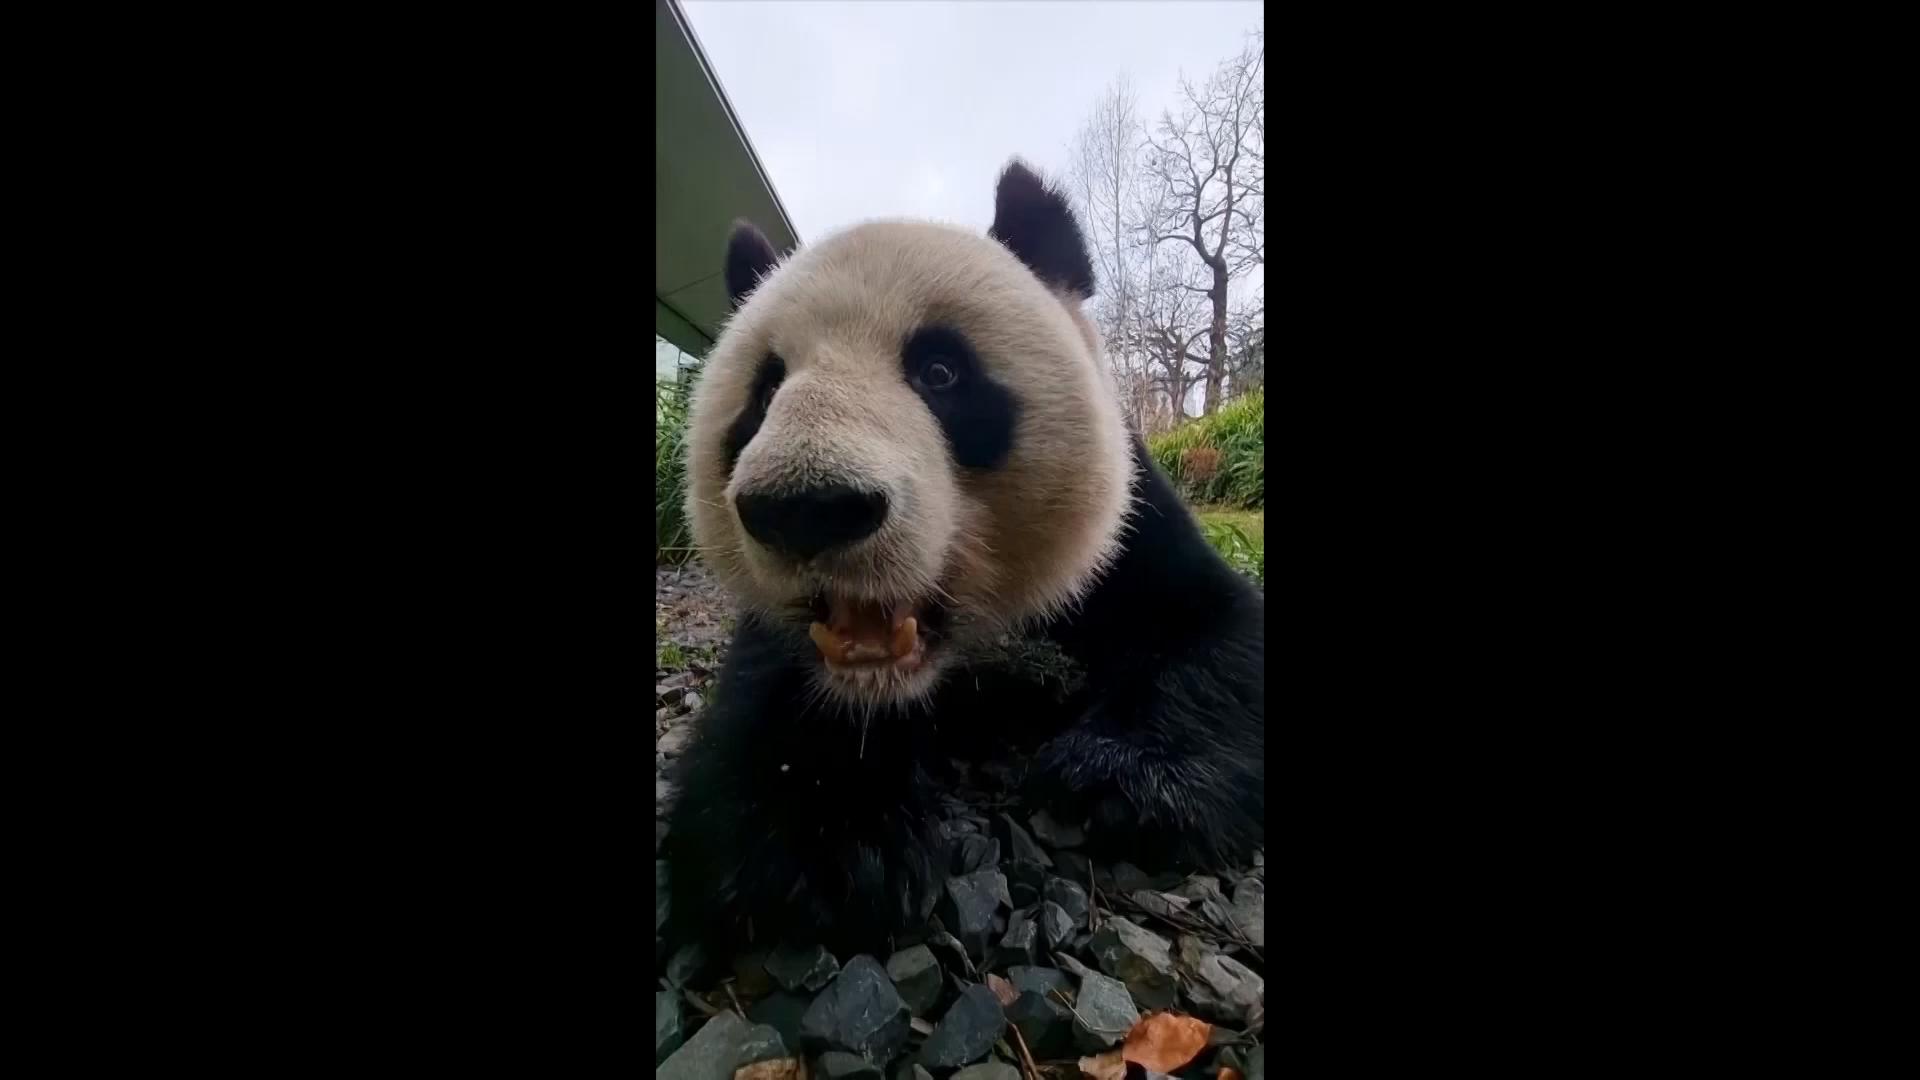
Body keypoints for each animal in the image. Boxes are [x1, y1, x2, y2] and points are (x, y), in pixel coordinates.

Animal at [663, 159, 1263, 956]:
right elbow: (769, 696)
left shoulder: (1134, 527)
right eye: (764, 392)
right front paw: (823, 849)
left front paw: (1120, 777)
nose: (807, 507)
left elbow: (1219, 630)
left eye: (941, 372)